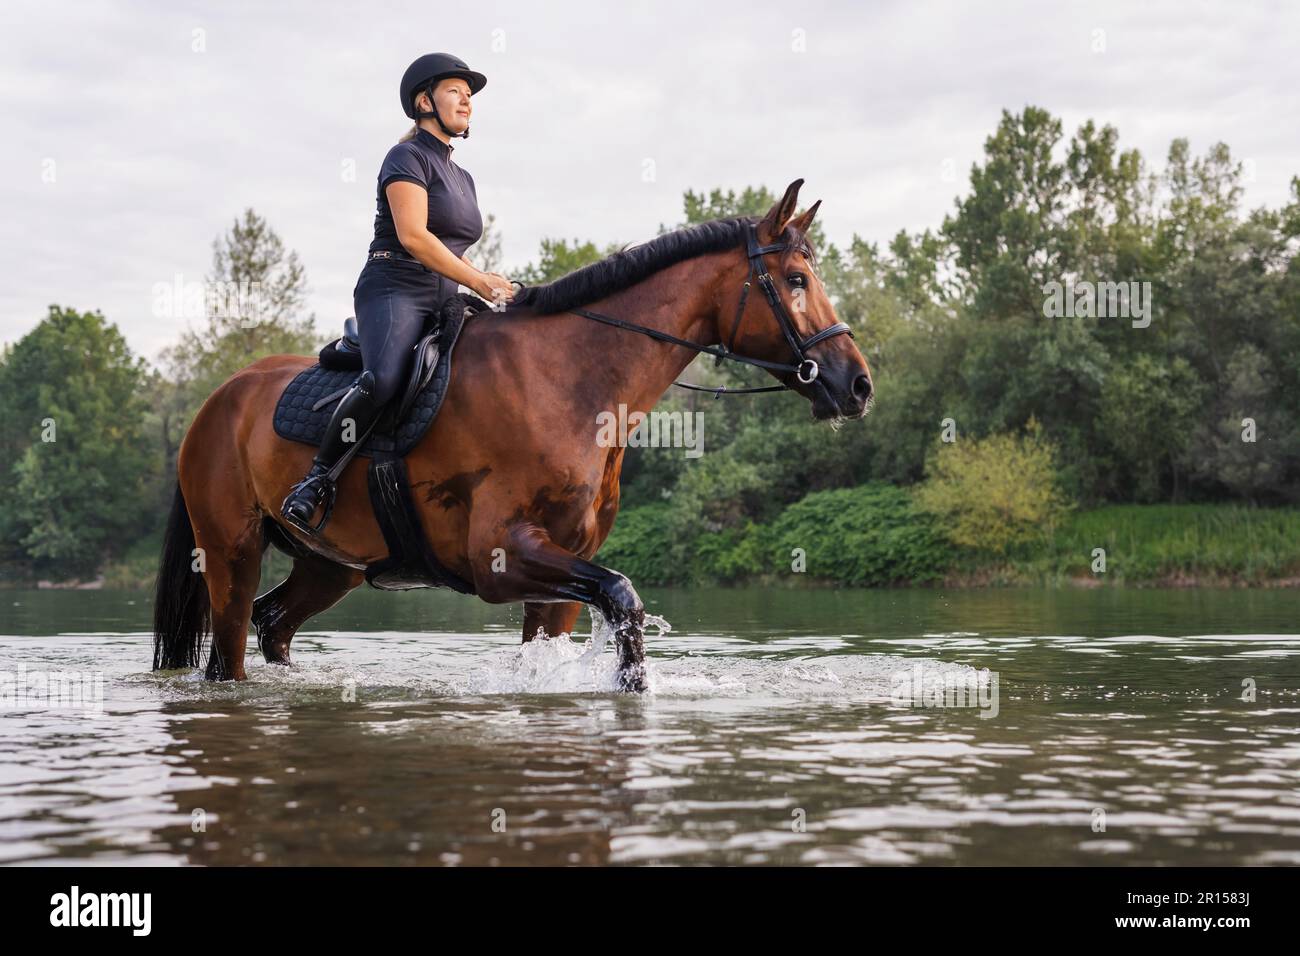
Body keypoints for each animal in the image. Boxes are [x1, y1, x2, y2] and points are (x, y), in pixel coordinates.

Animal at [152, 179, 874, 692]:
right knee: (229, 652)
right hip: (233, 552)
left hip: (329, 565)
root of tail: (218, 399)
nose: (858, 384)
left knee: (275, 623)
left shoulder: (559, 572)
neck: (571, 381)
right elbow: (625, 598)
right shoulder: (501, 555)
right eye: (797, 280)